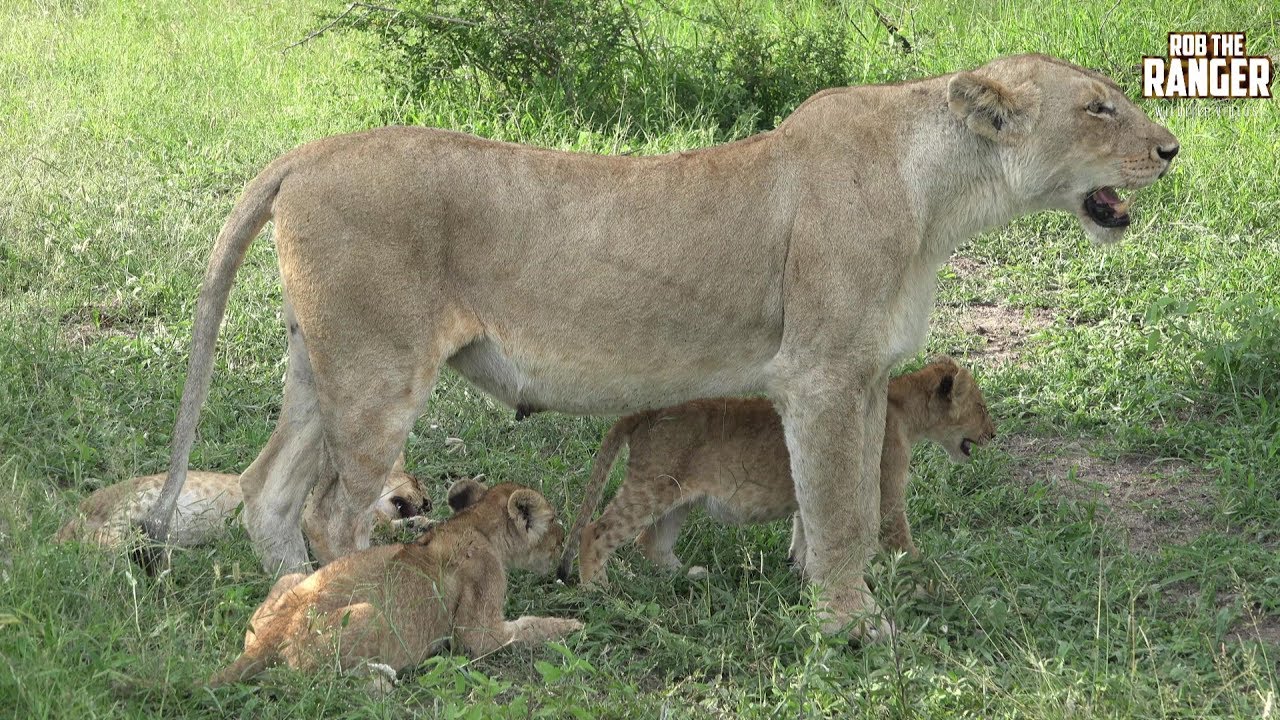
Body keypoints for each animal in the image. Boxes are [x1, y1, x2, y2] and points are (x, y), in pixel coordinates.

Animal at [57, 456, 428, 549]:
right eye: (415, 482)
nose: (429, 503)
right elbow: (381, 526)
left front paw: (421, 524)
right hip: (140, 500)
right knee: (96, 542)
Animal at [208, 479, 582, 687]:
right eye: (556, 525)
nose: (565, 541)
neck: (473, 523)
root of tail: (266, 640)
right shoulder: (479, 631)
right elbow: (524, 629)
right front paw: (572, 626)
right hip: (370, 615)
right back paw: (383, 677)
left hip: (293, 579)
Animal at [558, 357, 994, 585]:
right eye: (982, 407)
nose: (993, 433)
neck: (905, 408)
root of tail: (645, 411)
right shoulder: (884, 488)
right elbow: (901, 538)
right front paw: (935, 576)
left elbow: (805, 531)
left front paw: (800, 573)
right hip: (652, 488)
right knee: (598, 530)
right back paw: (599, 589)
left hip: (678, 495)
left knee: (649, 541)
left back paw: (688, 575)